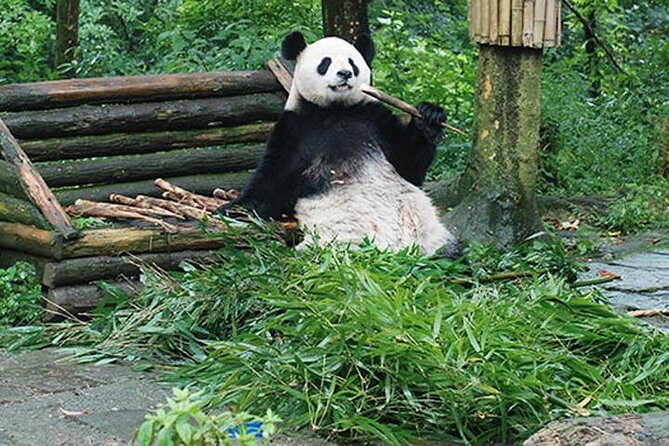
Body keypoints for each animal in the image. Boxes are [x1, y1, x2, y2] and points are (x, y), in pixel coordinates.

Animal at [220, 31, 459, 257]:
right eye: (325, 63)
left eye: (353, 63)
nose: (345, 73)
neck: (336, 109)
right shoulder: (296, 128)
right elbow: (273, 182)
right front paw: (233, 208)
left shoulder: (374, 118)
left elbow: (408, 164)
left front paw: (430, 116)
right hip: (332, 243)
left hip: (430, 234)